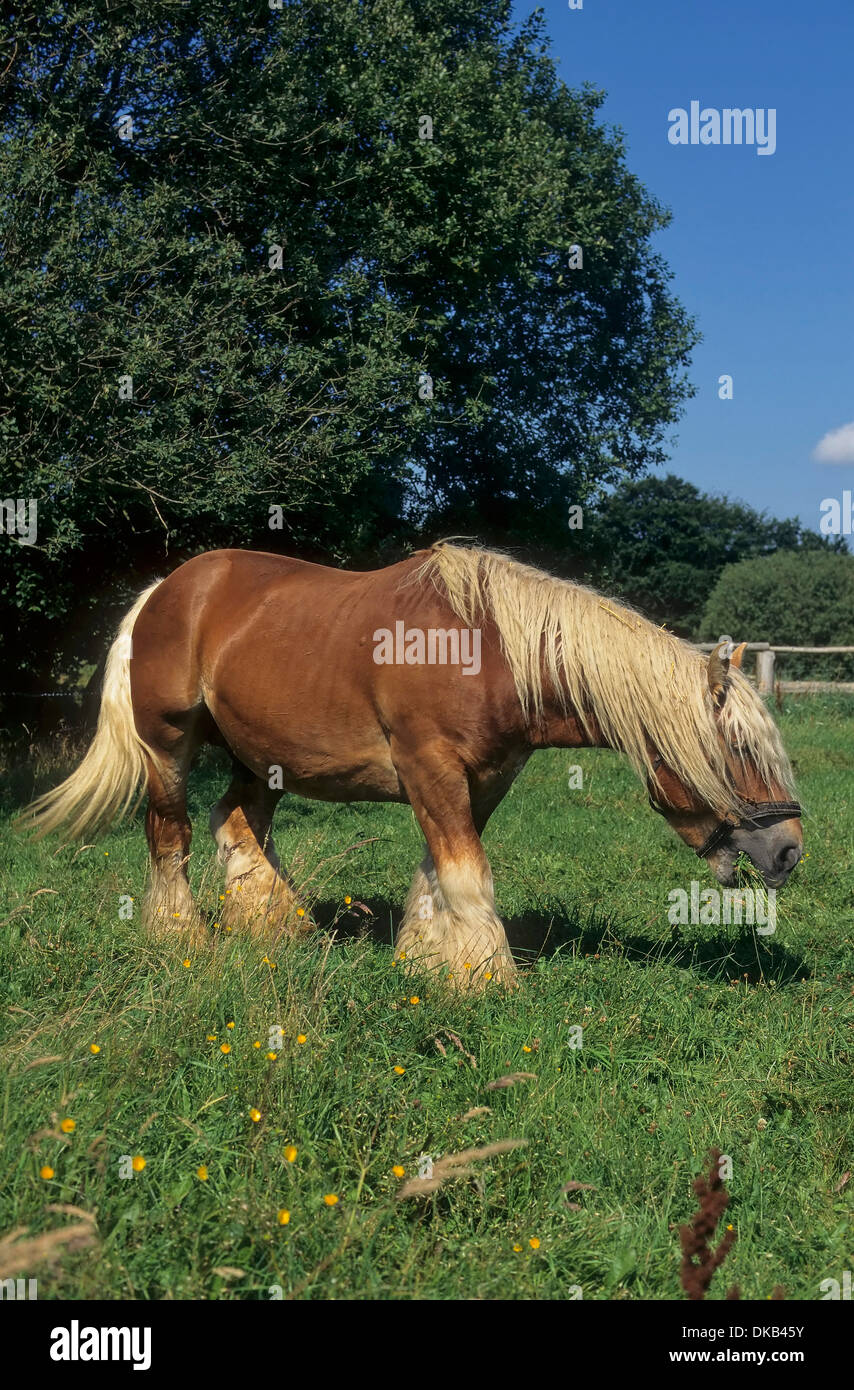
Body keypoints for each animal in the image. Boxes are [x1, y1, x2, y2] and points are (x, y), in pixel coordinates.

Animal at [21, 542, 803, 987]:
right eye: (737, 750)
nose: (790, 850)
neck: (489, 649)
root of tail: (166, 590)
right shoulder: (430, 767)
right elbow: (466, 872)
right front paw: (483, 979)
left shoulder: (482, 780)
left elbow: (441, 869)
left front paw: (427, 958)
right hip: (168, 748)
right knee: (171, 836)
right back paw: (182, 936)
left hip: (263, 758)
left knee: (239, 823)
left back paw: (276, 926)